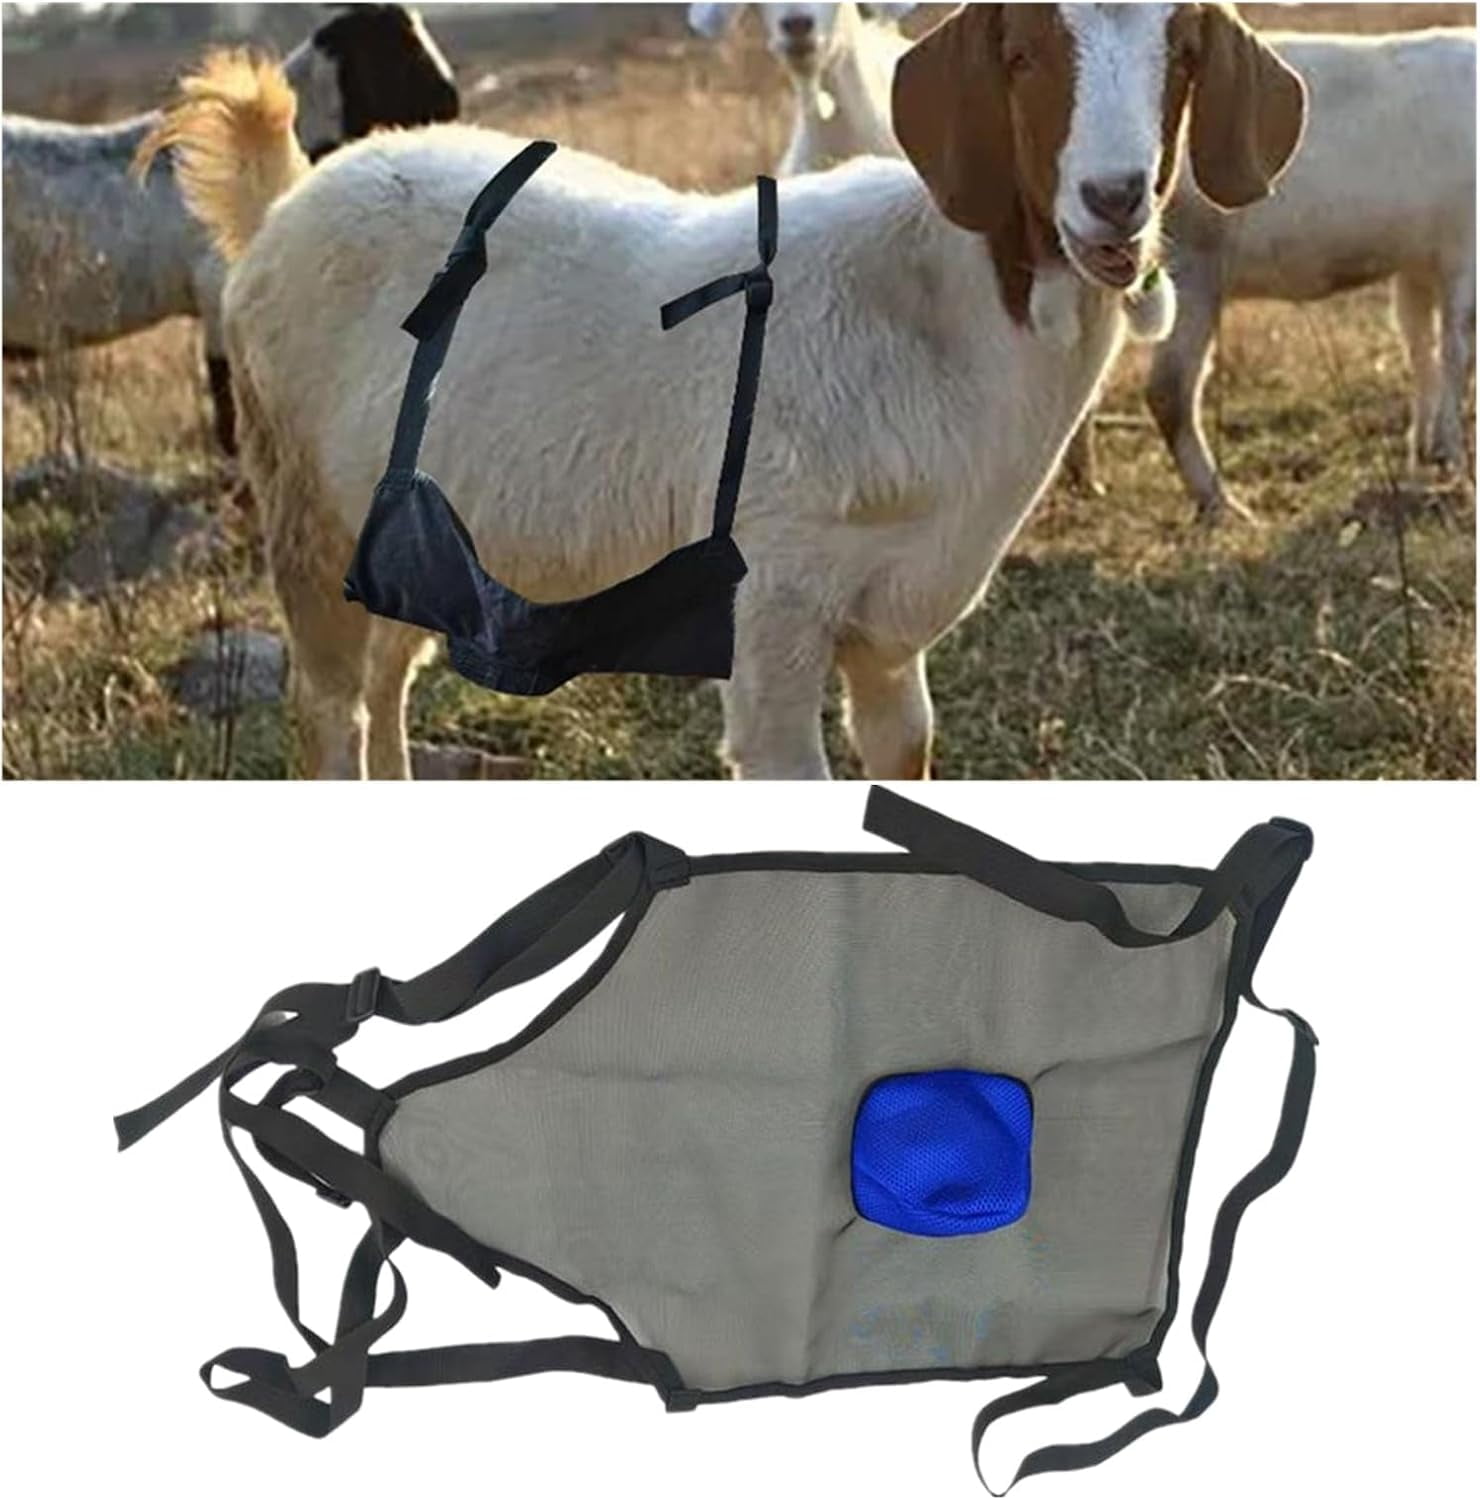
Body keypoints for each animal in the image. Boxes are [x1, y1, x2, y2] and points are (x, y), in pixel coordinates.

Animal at [1072, 25, 1477, 519]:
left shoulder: (1417, 260)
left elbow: (1418, 344)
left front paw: (1423, 456)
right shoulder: (1464, 245)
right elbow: (1457, 348)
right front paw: (1455, 468)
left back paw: (1090, 486)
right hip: (1193, 270)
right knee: (1168, 389)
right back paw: (1231, 510)